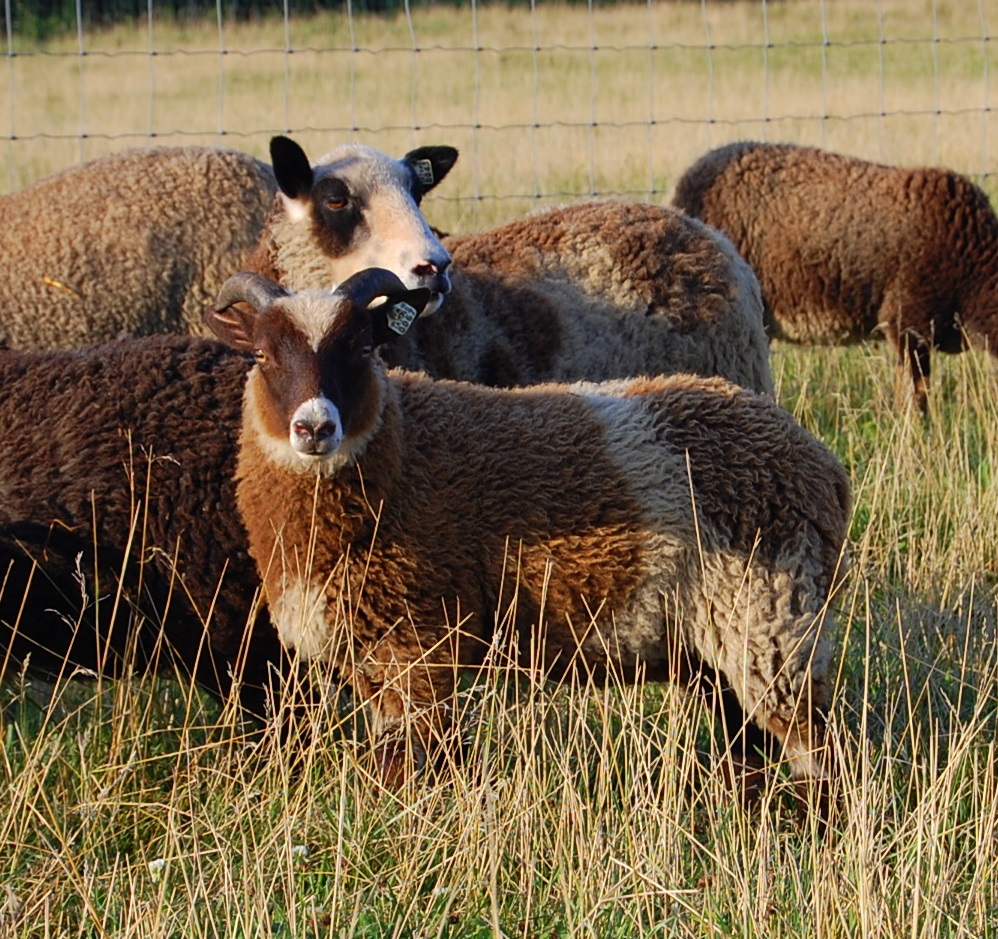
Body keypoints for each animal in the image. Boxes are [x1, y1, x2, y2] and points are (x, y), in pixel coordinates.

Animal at [205, 269, 852, 801]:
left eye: (364, 348)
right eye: (260, 354)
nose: (314, 428)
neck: (405, 449)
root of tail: (821, 464)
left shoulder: (421, 647)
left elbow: (414, 768)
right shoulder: (375, 654)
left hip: (773, 622)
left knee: (824, 754)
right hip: (721, 646)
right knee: (751, 745)